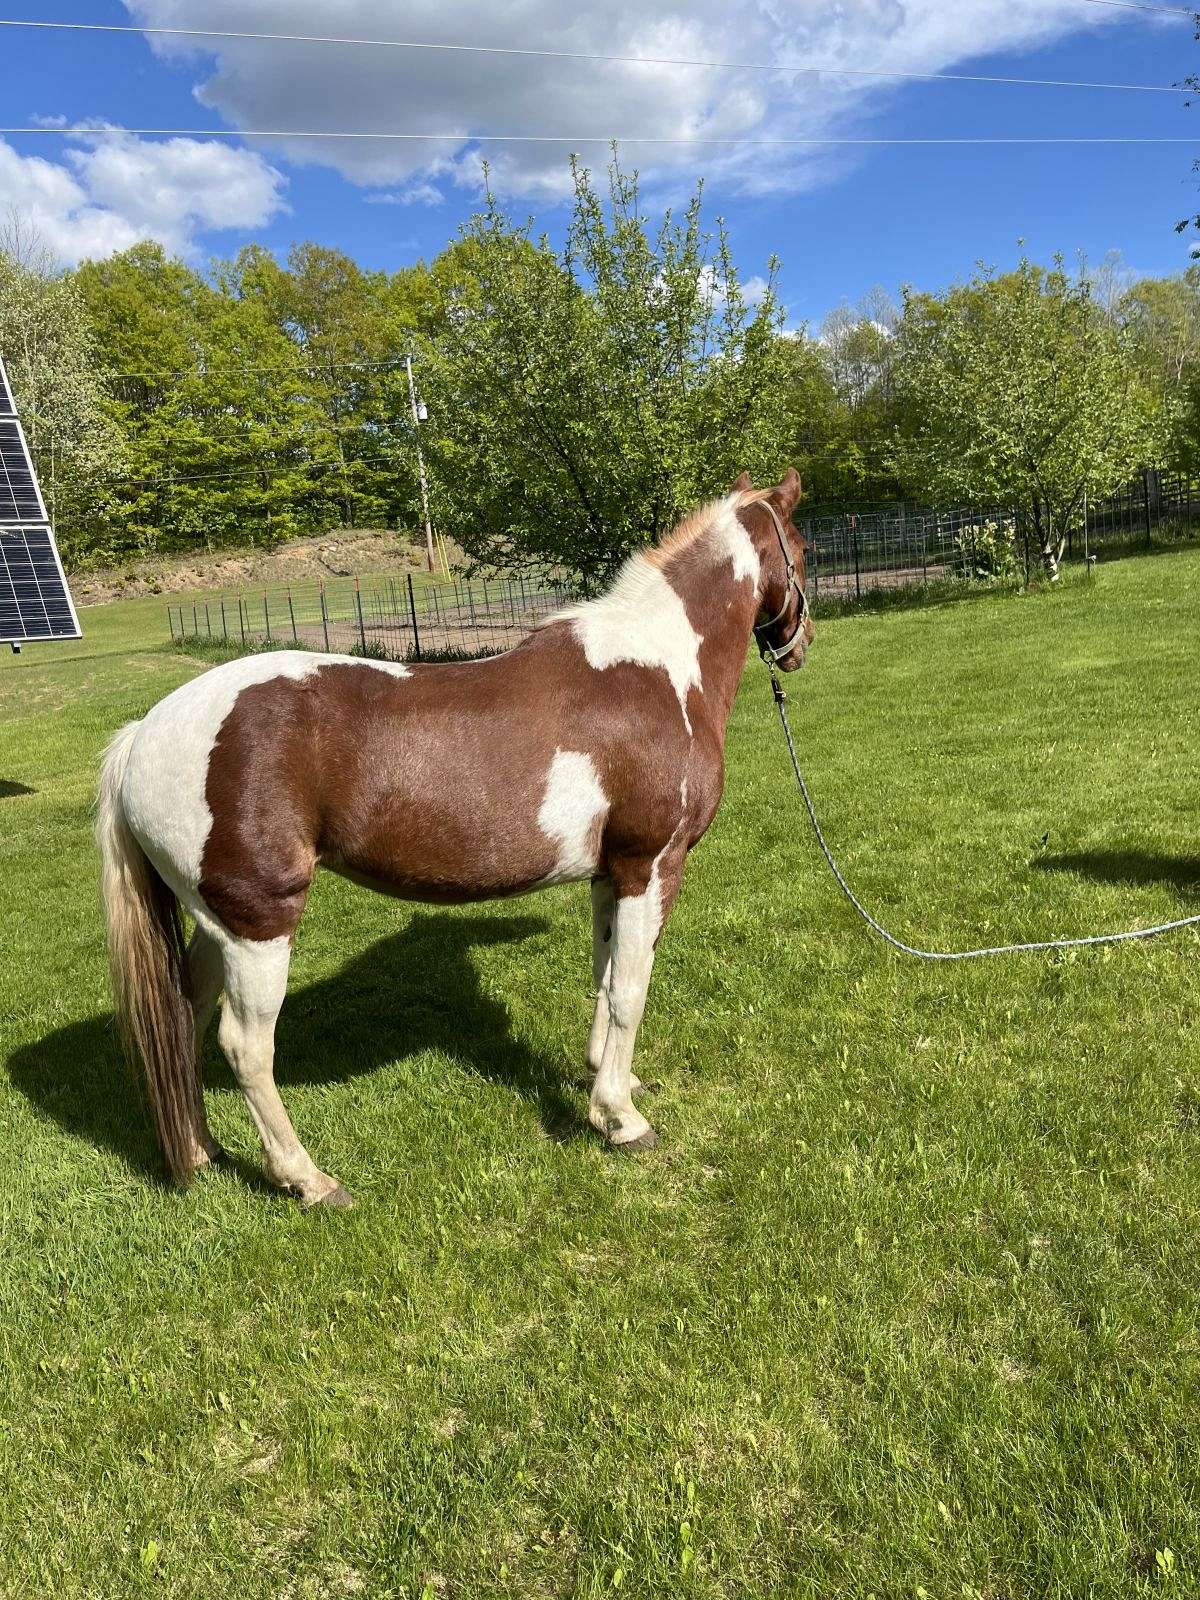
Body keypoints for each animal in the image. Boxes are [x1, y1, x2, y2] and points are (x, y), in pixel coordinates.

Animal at [95, 470, 812, 1207]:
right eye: (804, 548)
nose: (798, 645)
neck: (658, 668)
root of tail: (142, 735)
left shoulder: (608, 873)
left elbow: (605, 973)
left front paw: (605, 1077)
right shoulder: (650, 865)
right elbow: (630, 990)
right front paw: (620, 1117)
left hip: (214, 925)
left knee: (185, 1016)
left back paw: (202, 1149)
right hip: (257, 924)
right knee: (244, 1045)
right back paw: (308, 1179)